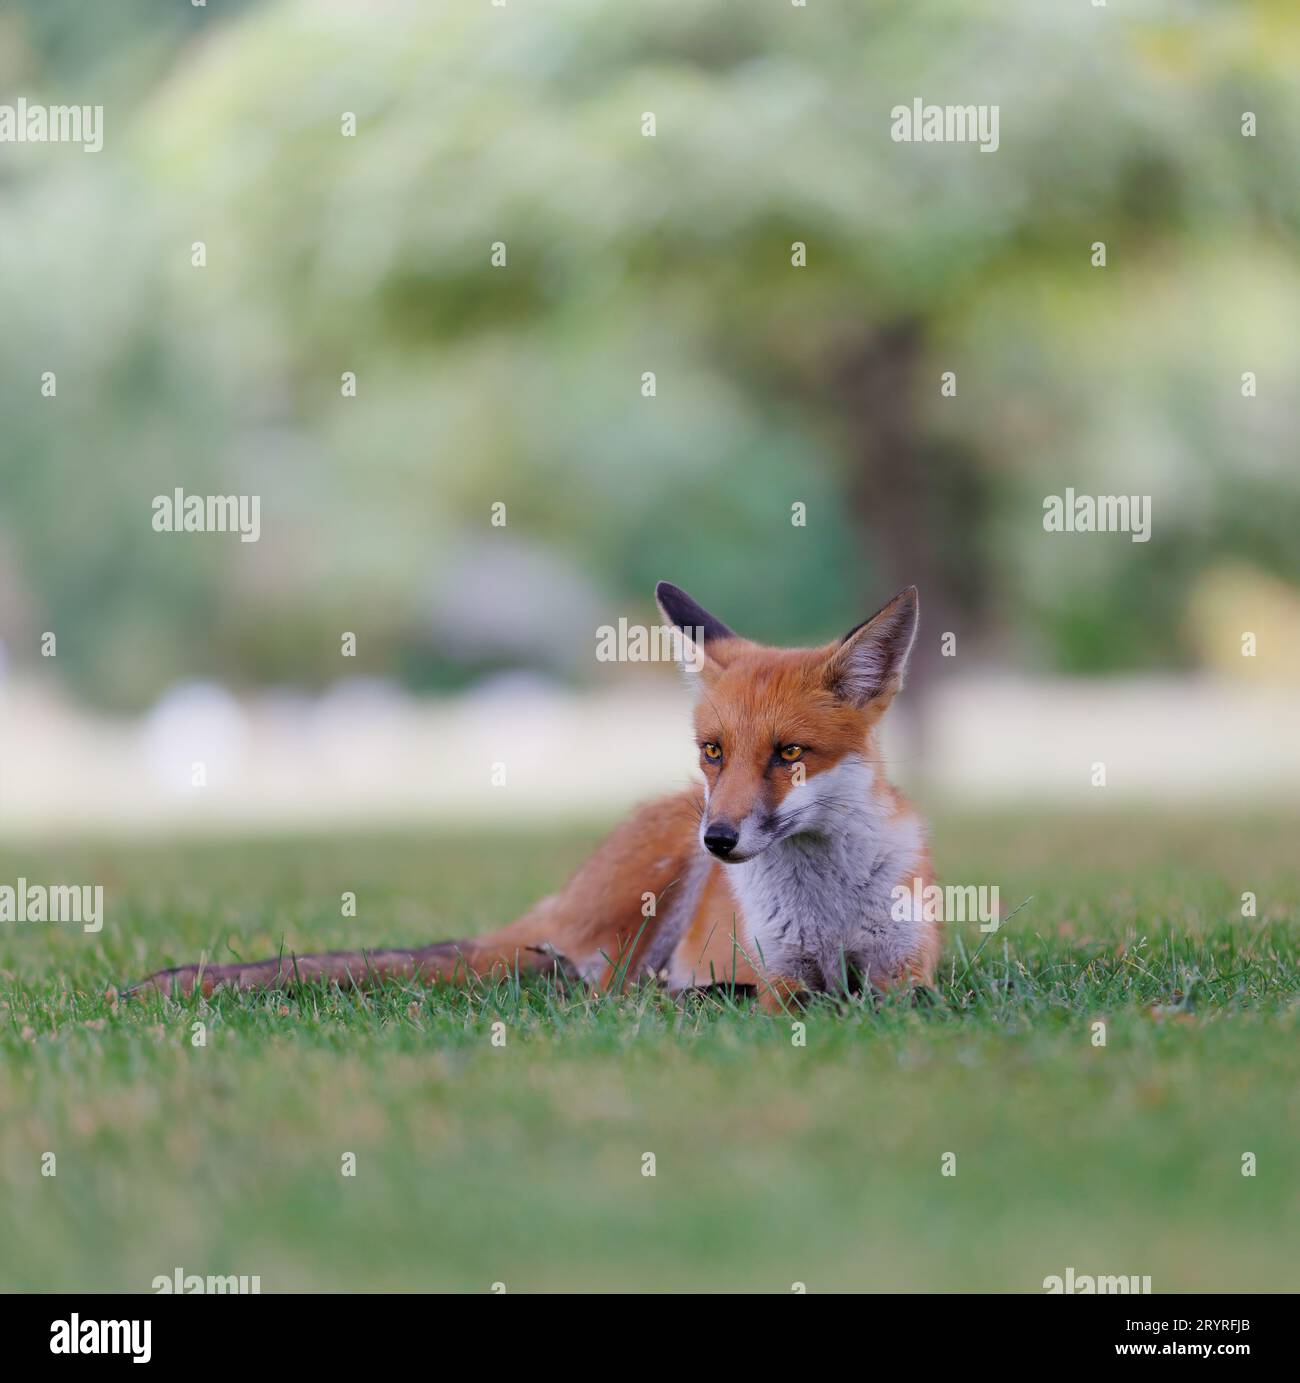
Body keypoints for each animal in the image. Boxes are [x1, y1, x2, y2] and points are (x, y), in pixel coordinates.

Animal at [130, 583, 938, 1011]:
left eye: (790, 754)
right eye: (713, 751)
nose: (720, 840)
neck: (824, 913)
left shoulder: (907, 973)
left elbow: (905, 999)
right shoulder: (779, 981)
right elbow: (783, 997)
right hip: (652, 888)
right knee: (606, 988)